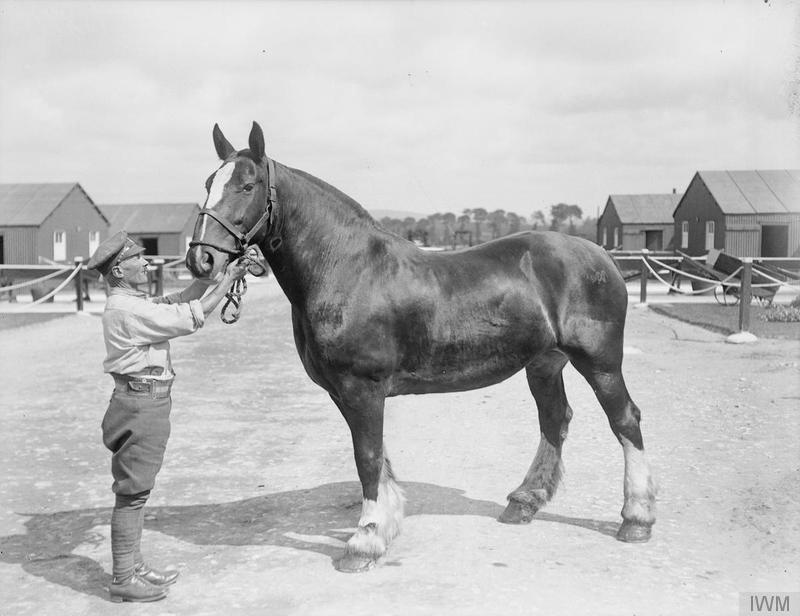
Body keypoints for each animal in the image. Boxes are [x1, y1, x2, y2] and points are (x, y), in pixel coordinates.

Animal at [186, 121, 657, 572]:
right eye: (209, 182)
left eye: (248, 186)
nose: (201, 259)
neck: (346, 269)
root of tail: (602, 254)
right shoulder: (344, 392)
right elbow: (377, 457)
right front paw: (385, 524)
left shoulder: (362, 388)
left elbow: (367, 457)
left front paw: (365, 540)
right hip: (544, 363)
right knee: (554, 420)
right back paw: (525, 501)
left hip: (599, 362)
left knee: (625, 421)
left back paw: (636, 518)